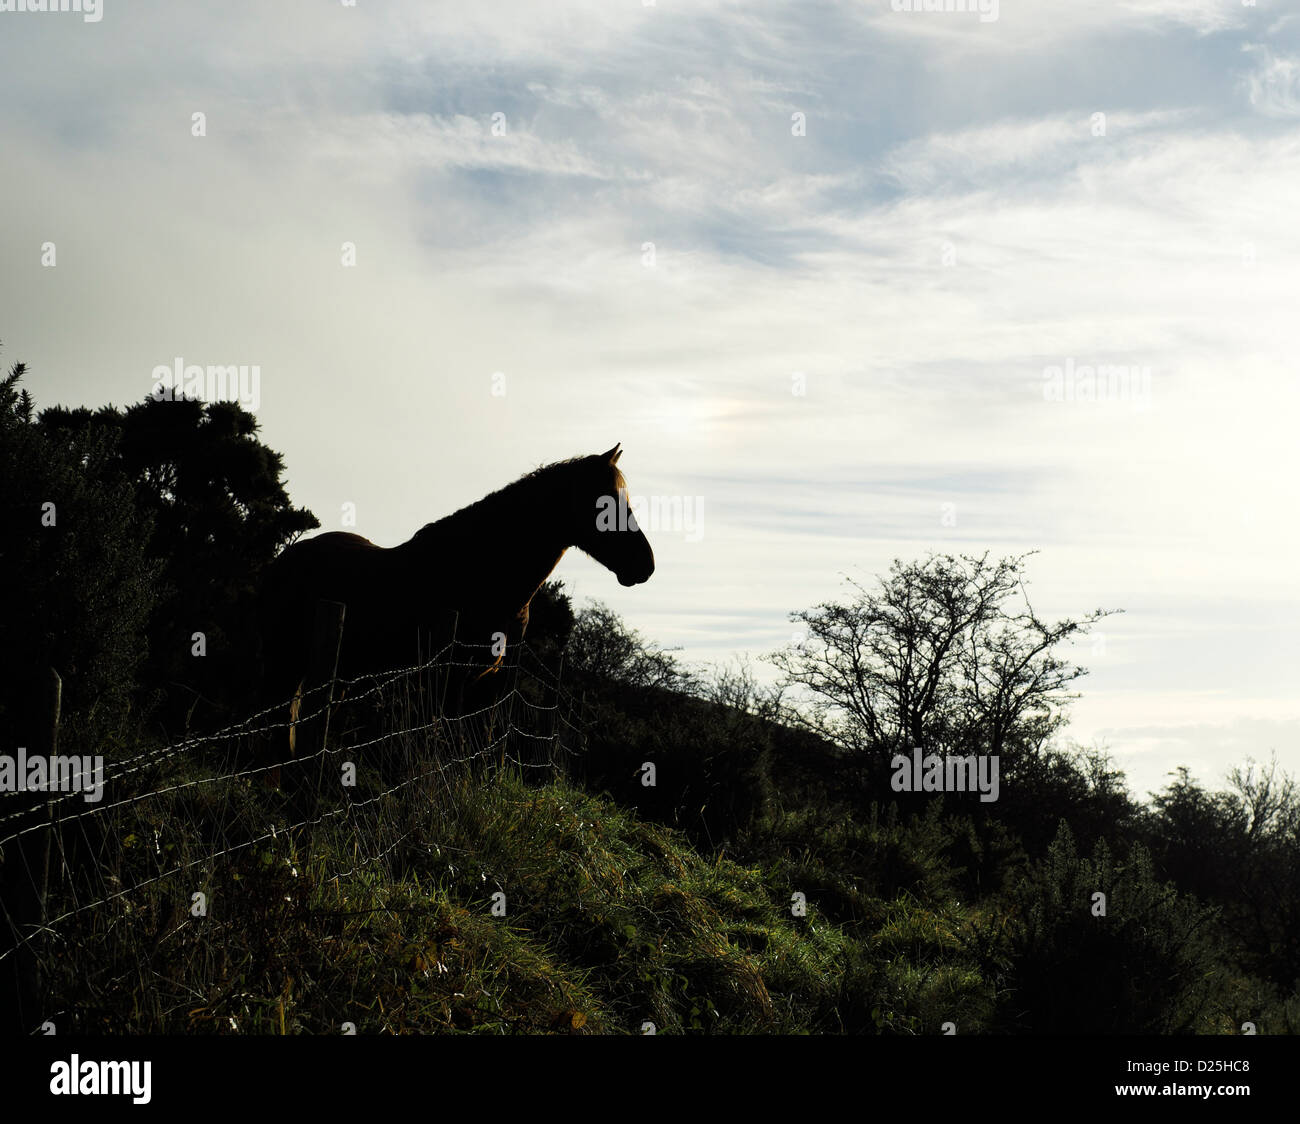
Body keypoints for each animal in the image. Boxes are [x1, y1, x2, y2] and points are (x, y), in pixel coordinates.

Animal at [257, 444, 654, 753]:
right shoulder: (446, 680)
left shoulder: (483, 685)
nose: (645, 565)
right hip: (286, 664)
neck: (473, 569)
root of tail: (285, 559)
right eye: (606, 502)